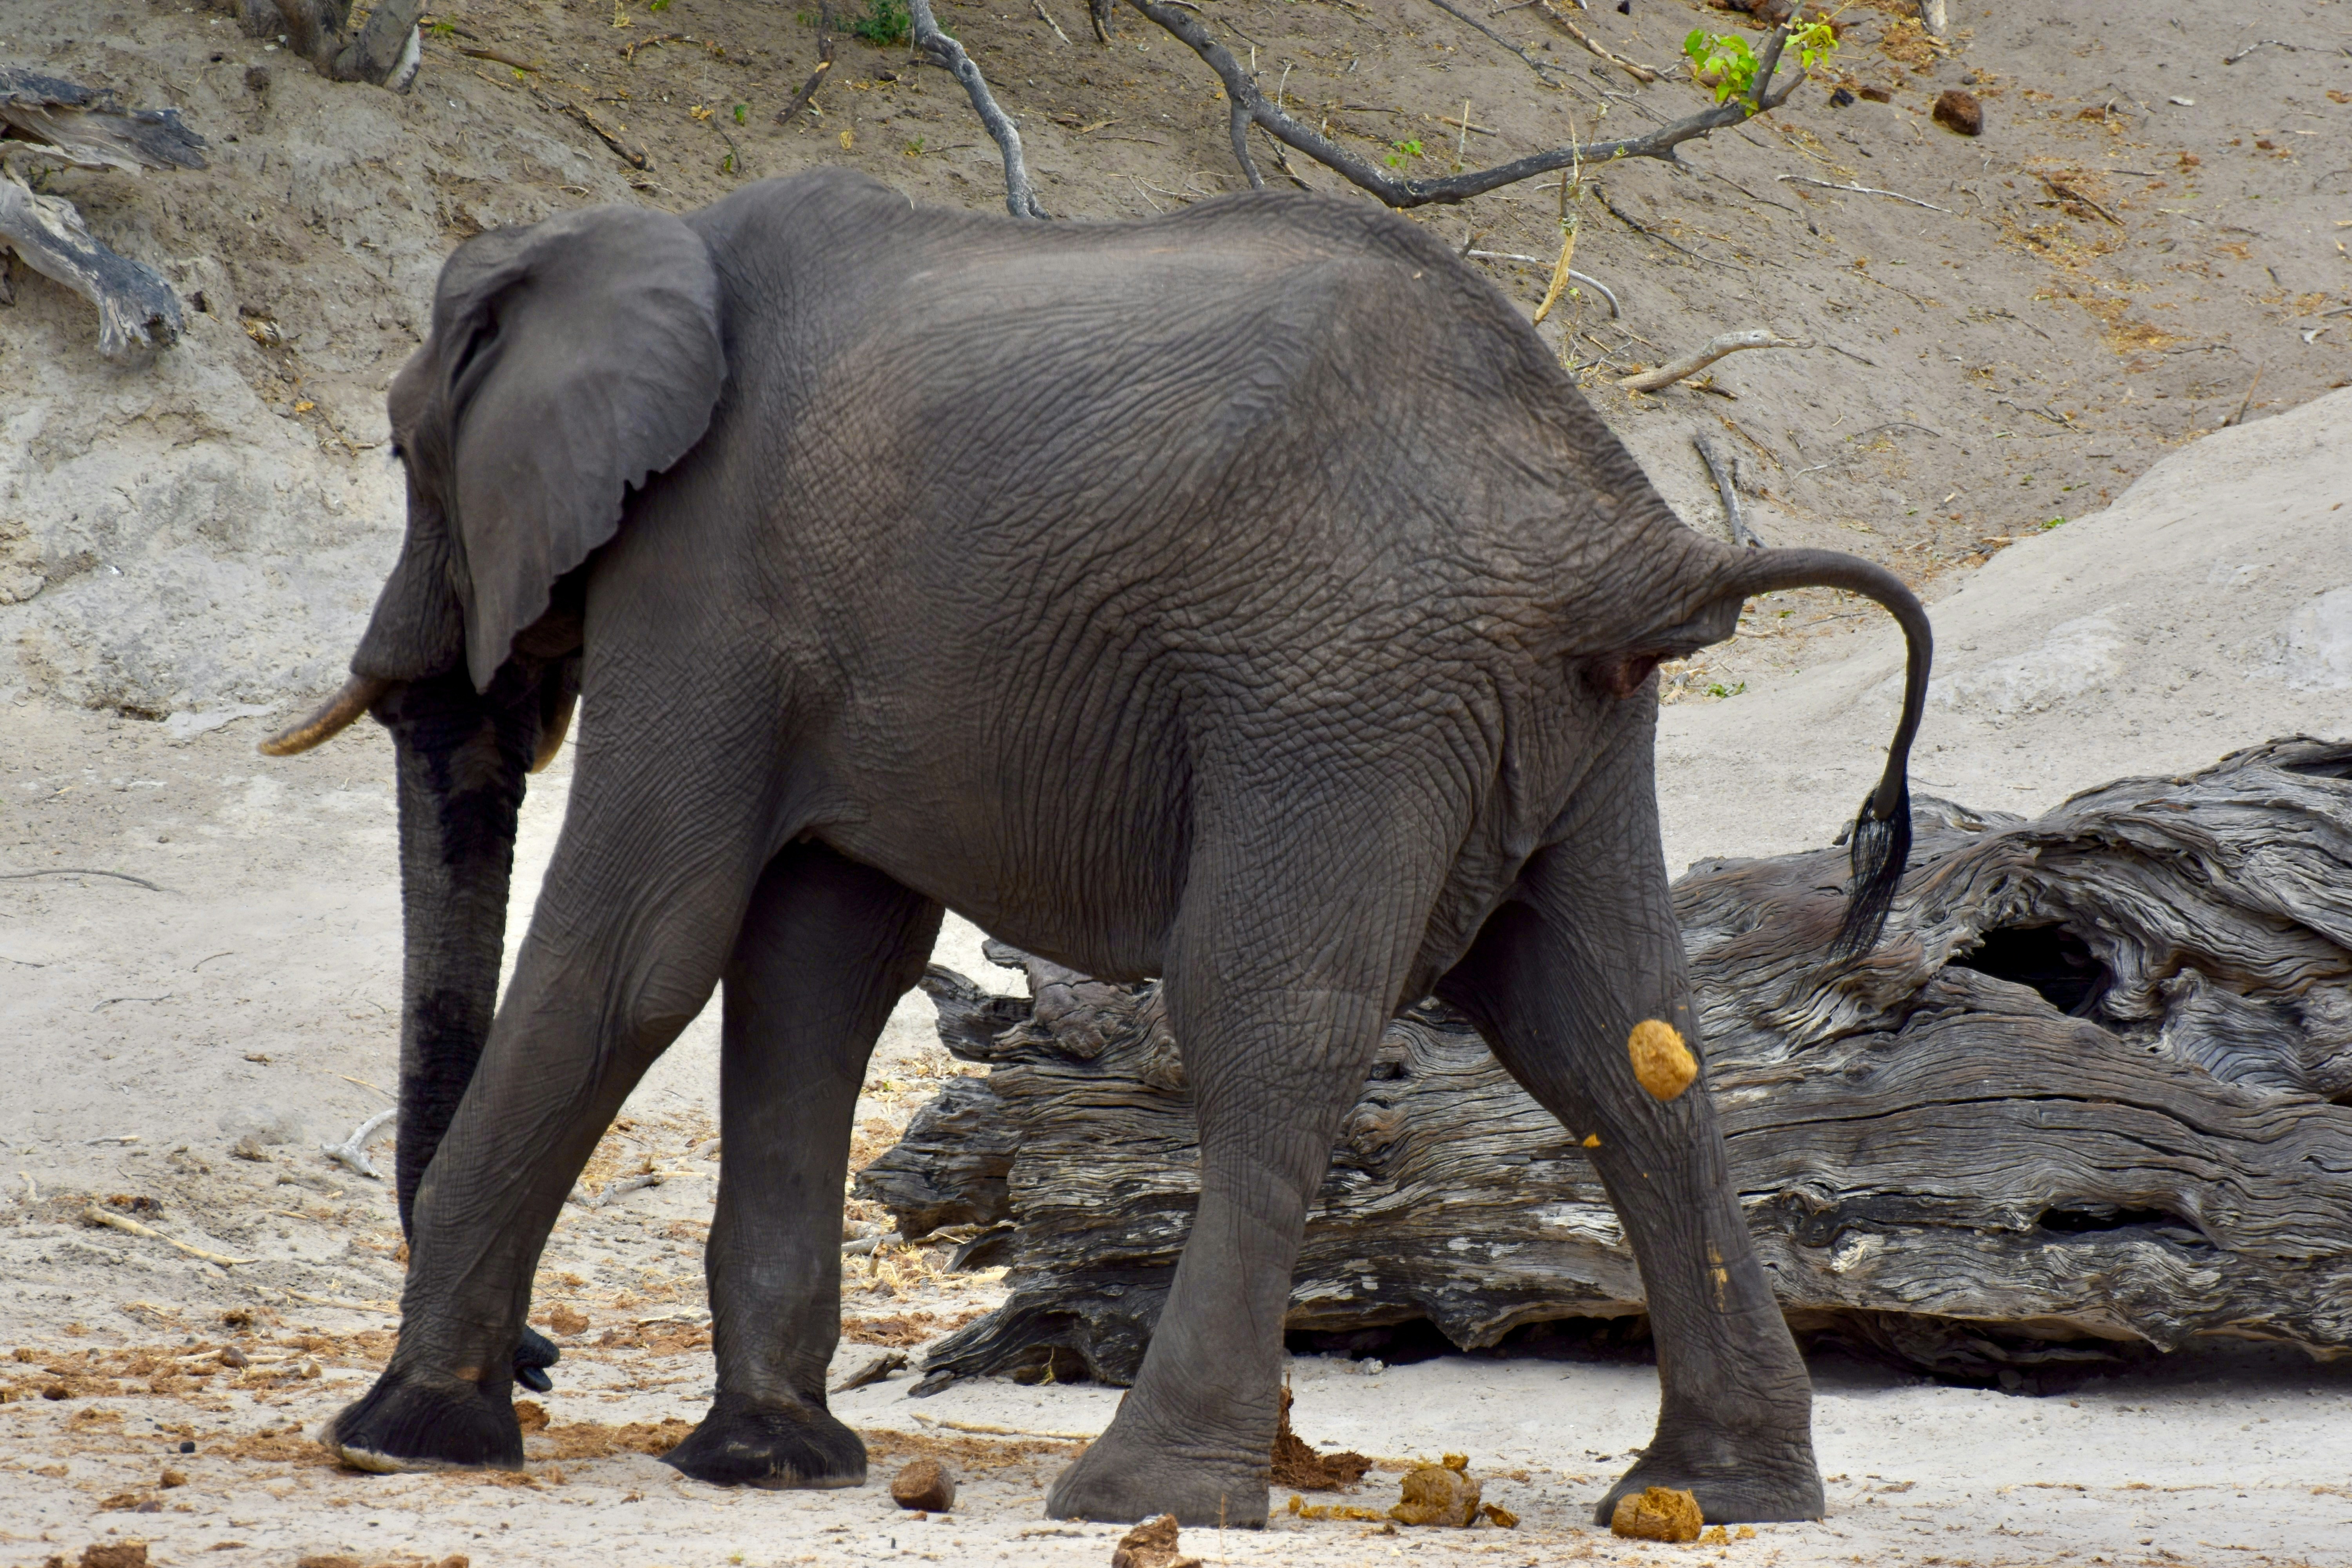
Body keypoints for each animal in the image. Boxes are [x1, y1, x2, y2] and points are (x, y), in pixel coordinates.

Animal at [263, 167, 1929, 1528]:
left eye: (406, 456)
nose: (544, 1360)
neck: (643, 236)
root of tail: (1642, 546)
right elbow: (816, 969)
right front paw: (766, 1463)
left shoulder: (708, 579)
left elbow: (640, 946)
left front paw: (400, 1435)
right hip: (1559, 718)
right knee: (1620, 1041)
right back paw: (1709, 1494)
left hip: (1338, 686)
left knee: (1266, 1024)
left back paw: (1143, 1490)